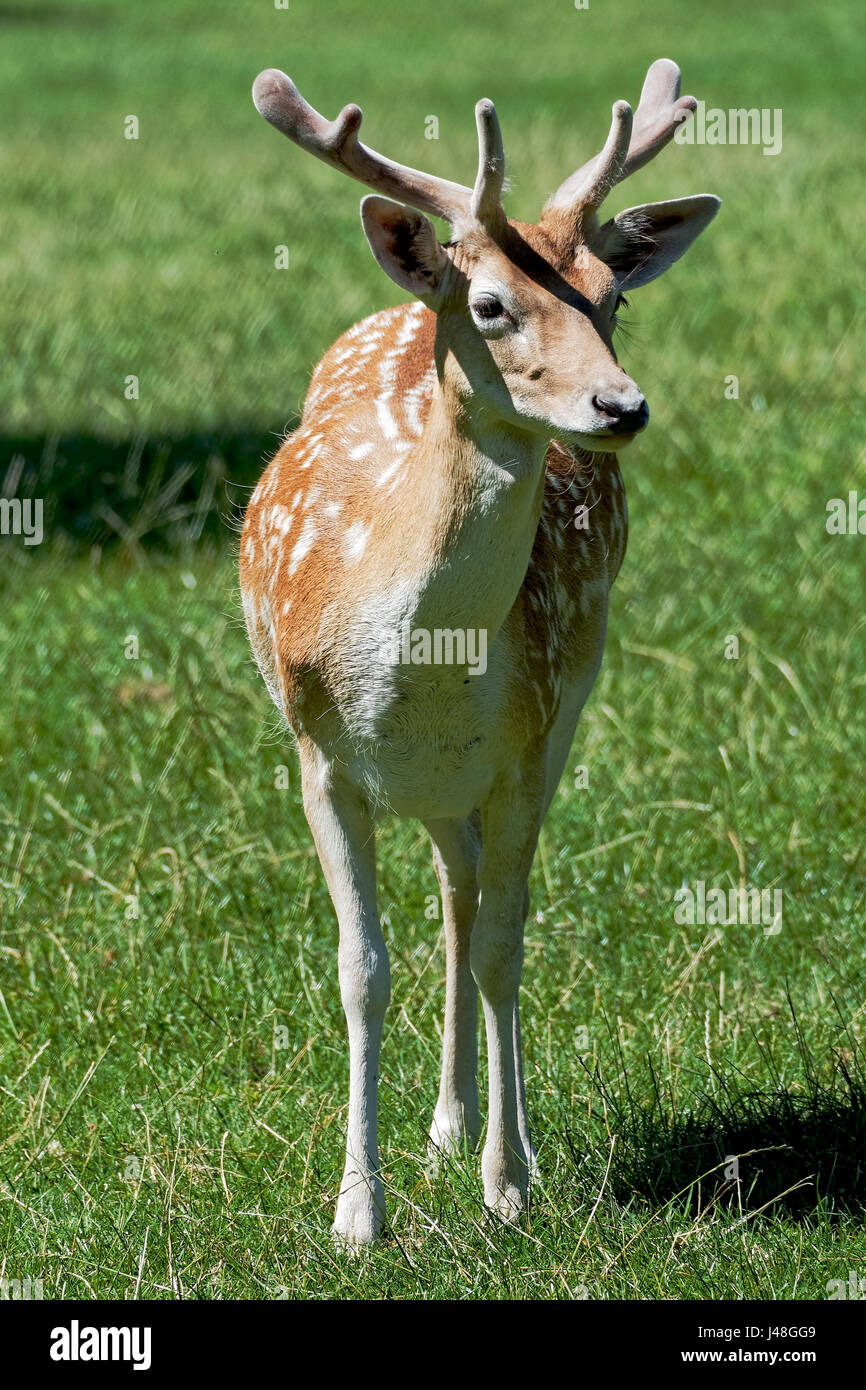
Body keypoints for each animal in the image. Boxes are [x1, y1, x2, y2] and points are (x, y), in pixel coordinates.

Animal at [240, 57, 719, 1247]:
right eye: (492, 306)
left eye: (612, 293)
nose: (621, 405)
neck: (414, 661)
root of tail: (391, 308)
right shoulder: (317, 753)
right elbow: (360, 969)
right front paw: (356, 1214)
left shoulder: (522, 743)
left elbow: (505, 943)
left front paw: (510, 1185)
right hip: (428, 776)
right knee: (450, 893)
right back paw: (442, 1125)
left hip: (552, 716)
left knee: (472, 905)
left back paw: (470, 1131)